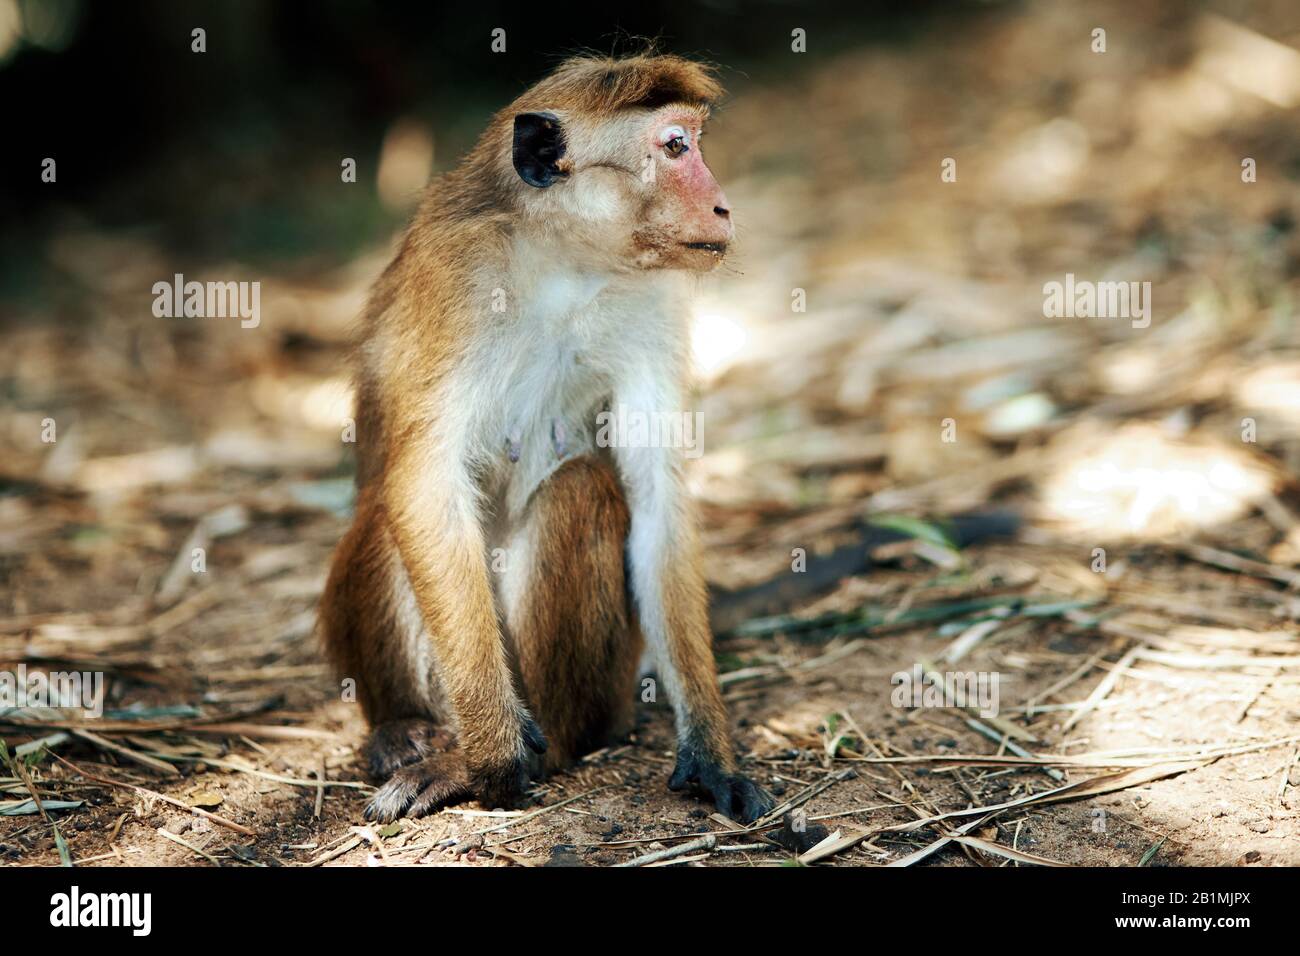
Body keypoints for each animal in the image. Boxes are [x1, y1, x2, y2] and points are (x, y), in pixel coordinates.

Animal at [318, 52, 774, 825]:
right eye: (675, 147)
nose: (722, 206)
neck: (563, 262)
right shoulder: (456, 277)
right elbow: (425, 479)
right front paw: (495, 750)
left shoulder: (652, 297)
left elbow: (654, 496)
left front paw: (711, 750)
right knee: (387, 509)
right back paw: (409, 730)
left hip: (611, 681)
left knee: (581, 486)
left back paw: (552, 743)